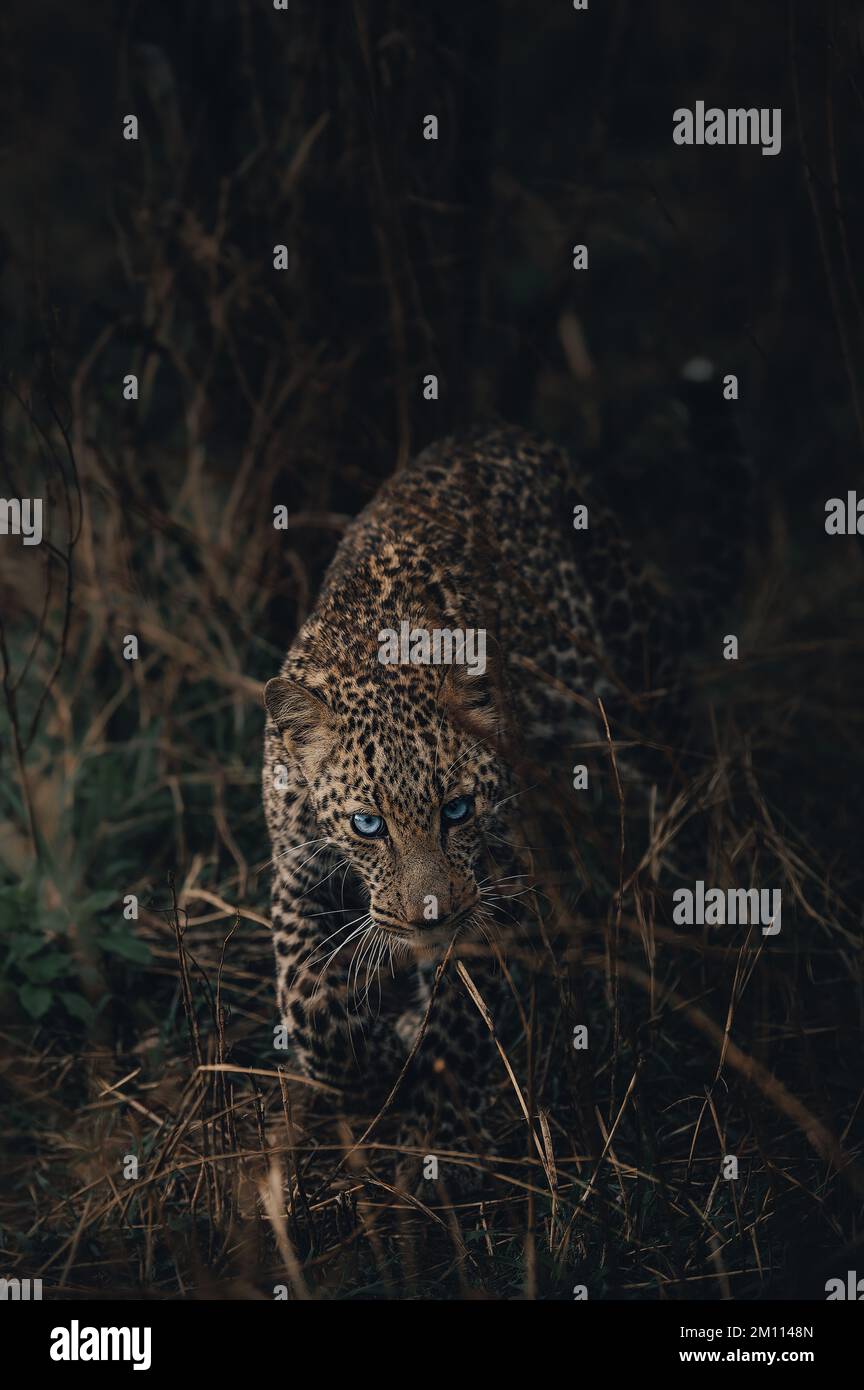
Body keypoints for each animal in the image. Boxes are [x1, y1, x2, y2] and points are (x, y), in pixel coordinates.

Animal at [262, 370, 751, 1198]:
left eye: (458, 810)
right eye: (368, 826)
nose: (425, 918)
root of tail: (494, 431)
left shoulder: (502, 865)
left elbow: (466, 1002)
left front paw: (443, 1131)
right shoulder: (296, 863)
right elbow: (306, 993)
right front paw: (364, 1066)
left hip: (634, 665)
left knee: (677, 772)